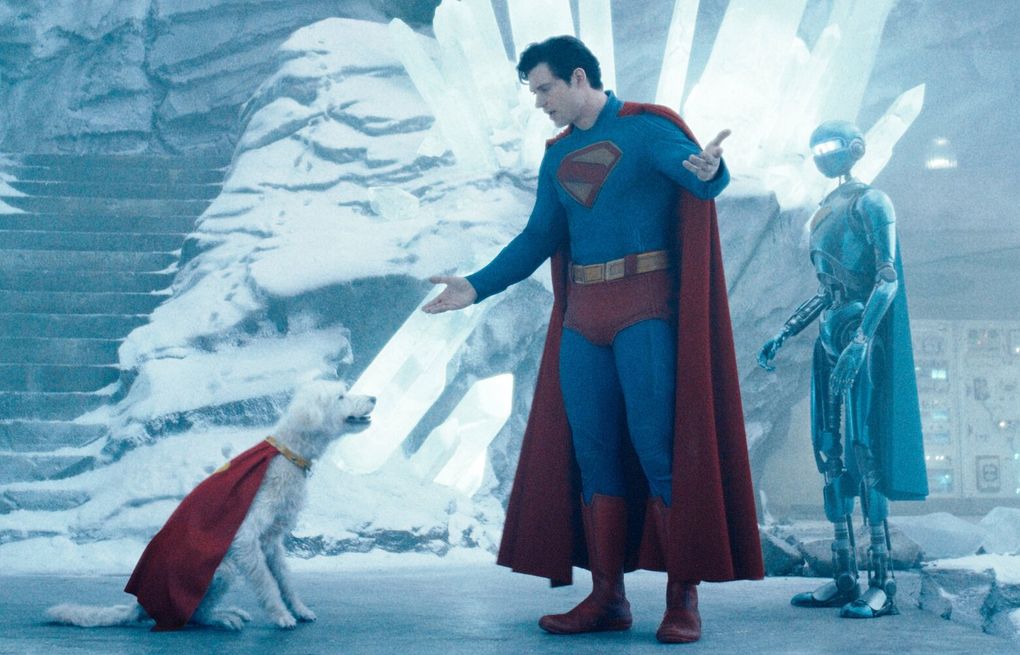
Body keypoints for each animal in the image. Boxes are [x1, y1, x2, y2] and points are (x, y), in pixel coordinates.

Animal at [46, 379, 375, 631]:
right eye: (341, 396)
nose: (374, 397)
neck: (286, 454)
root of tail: (141, 604)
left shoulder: (271, 542)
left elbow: (284, 579)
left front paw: (299, 609)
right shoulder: (246, 538)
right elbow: (267, 583)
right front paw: (281, 616)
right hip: (221, 570)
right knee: (195, 615)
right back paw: (222, 618)